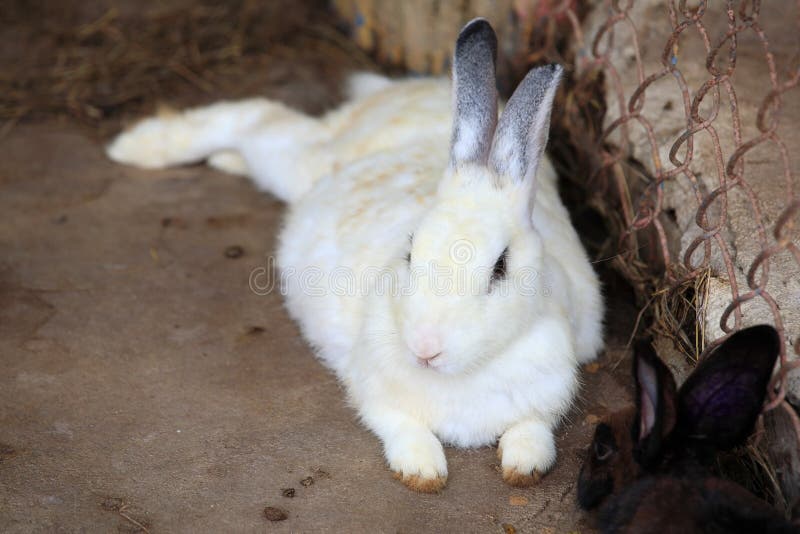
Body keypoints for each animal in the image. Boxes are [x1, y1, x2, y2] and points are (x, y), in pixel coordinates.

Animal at [106, 18, 604, 492]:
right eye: (410, 252)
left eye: (500, 268)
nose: (425, 349)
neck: (466, 374)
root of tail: (406, 92)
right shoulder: (374, 393)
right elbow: (402, 428)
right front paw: (423, 472)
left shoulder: (548, 395)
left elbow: (533, 433)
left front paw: (524, 468)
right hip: (298, 158)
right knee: (255, 117)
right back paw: (137, 146)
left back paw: (217, 160)